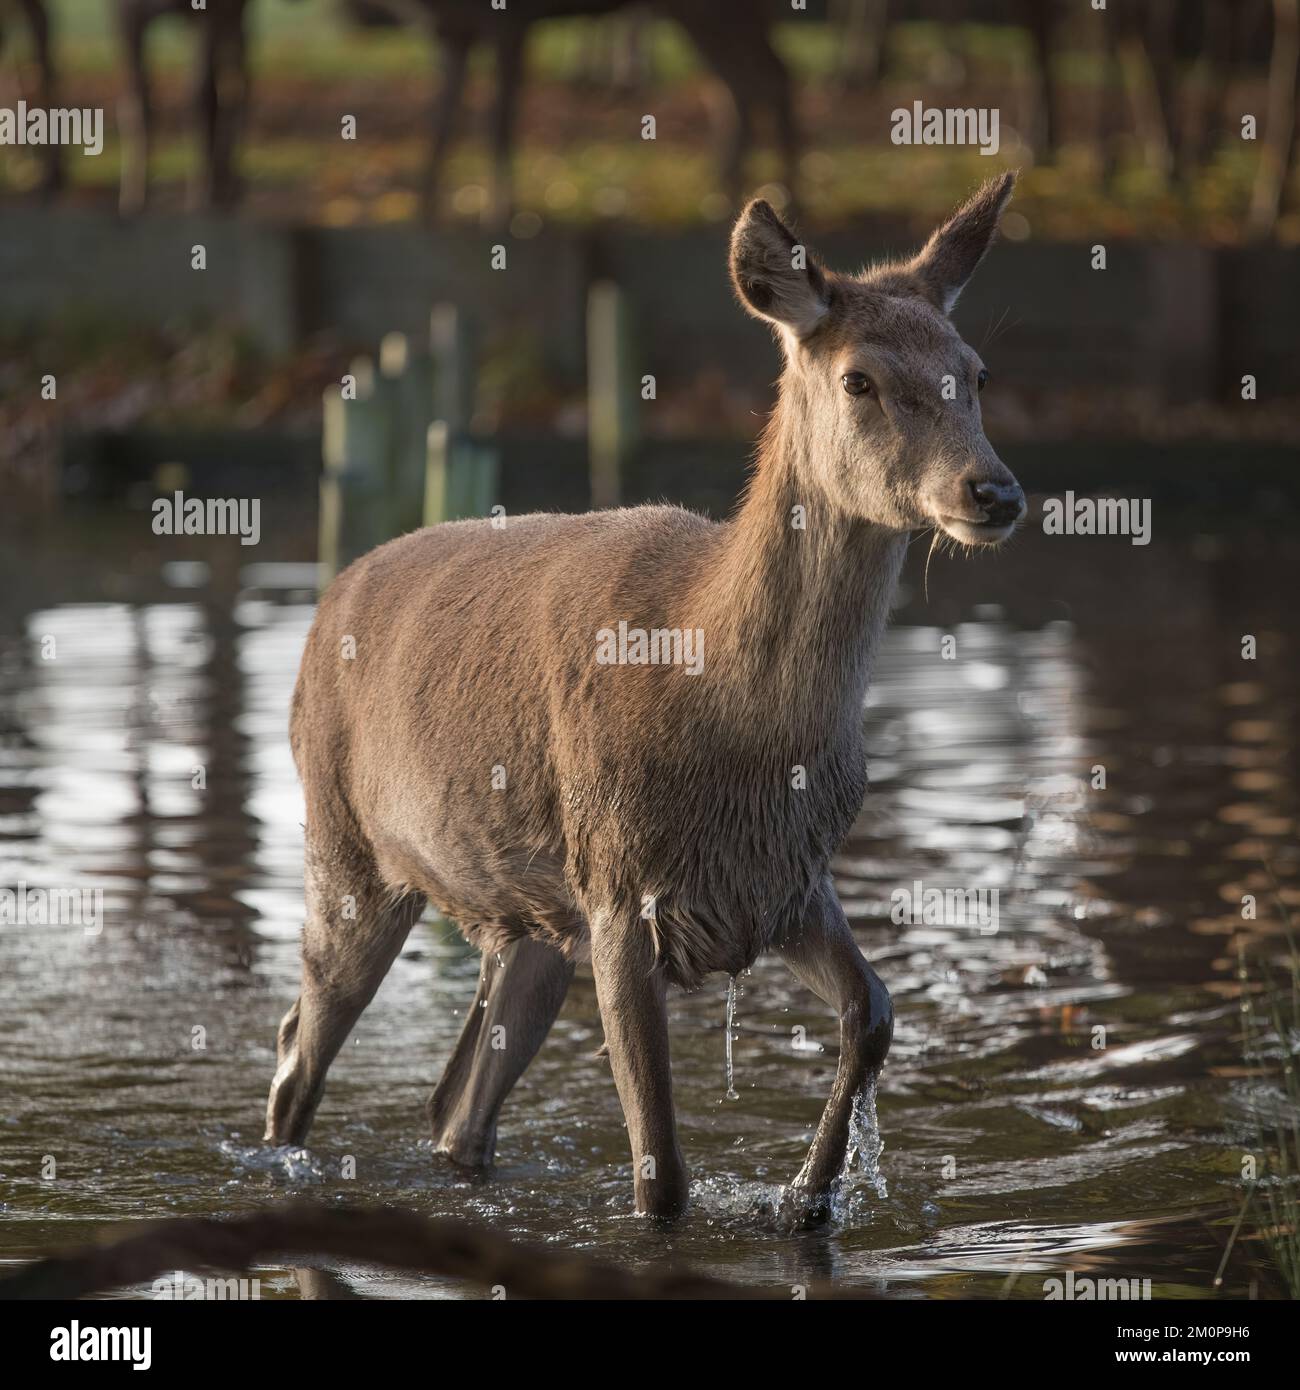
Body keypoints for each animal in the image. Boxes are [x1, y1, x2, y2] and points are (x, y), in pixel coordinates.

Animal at [264, 173, 1026, 1222]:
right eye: (858, 379)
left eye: (977, 371)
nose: (993, 492)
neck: (740, 731)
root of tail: (324, 607)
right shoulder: (622, 887)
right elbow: (660, 1173)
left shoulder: (784, 880)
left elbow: (873, 1010)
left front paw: (808, 1194)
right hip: (346, 847)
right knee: (298, 1050)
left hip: (530, 919)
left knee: (455, 1101)